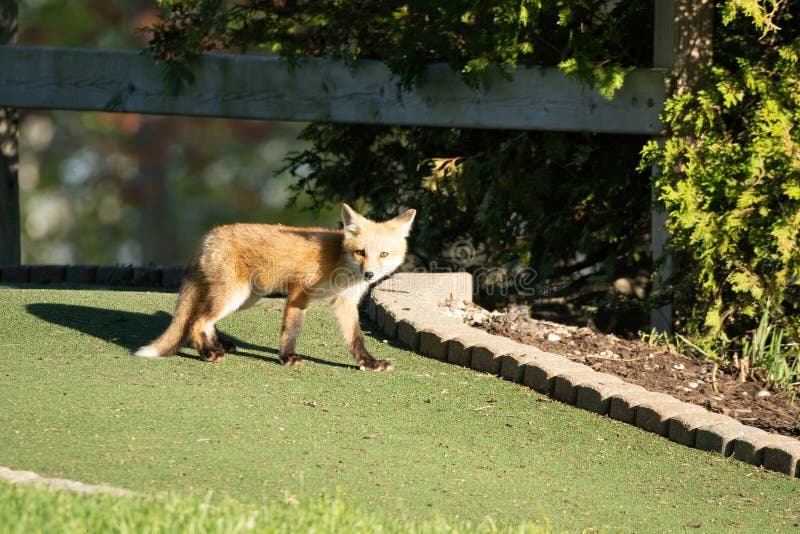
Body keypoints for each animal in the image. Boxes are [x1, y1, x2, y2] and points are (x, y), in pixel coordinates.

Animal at [134, 204, 415, 371]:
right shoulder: (299, 291)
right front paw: (287, 357)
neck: (338, 262)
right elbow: (291, 330)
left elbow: (355, 338)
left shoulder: (344, 302)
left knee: (205, 321)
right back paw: (208, 353)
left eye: (383, 254)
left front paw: (369, 362)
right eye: (361, 252)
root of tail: (208, 236)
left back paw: (218, 345)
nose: (369, 274)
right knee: (196, 321)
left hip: (245, 298)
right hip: (233, 296)